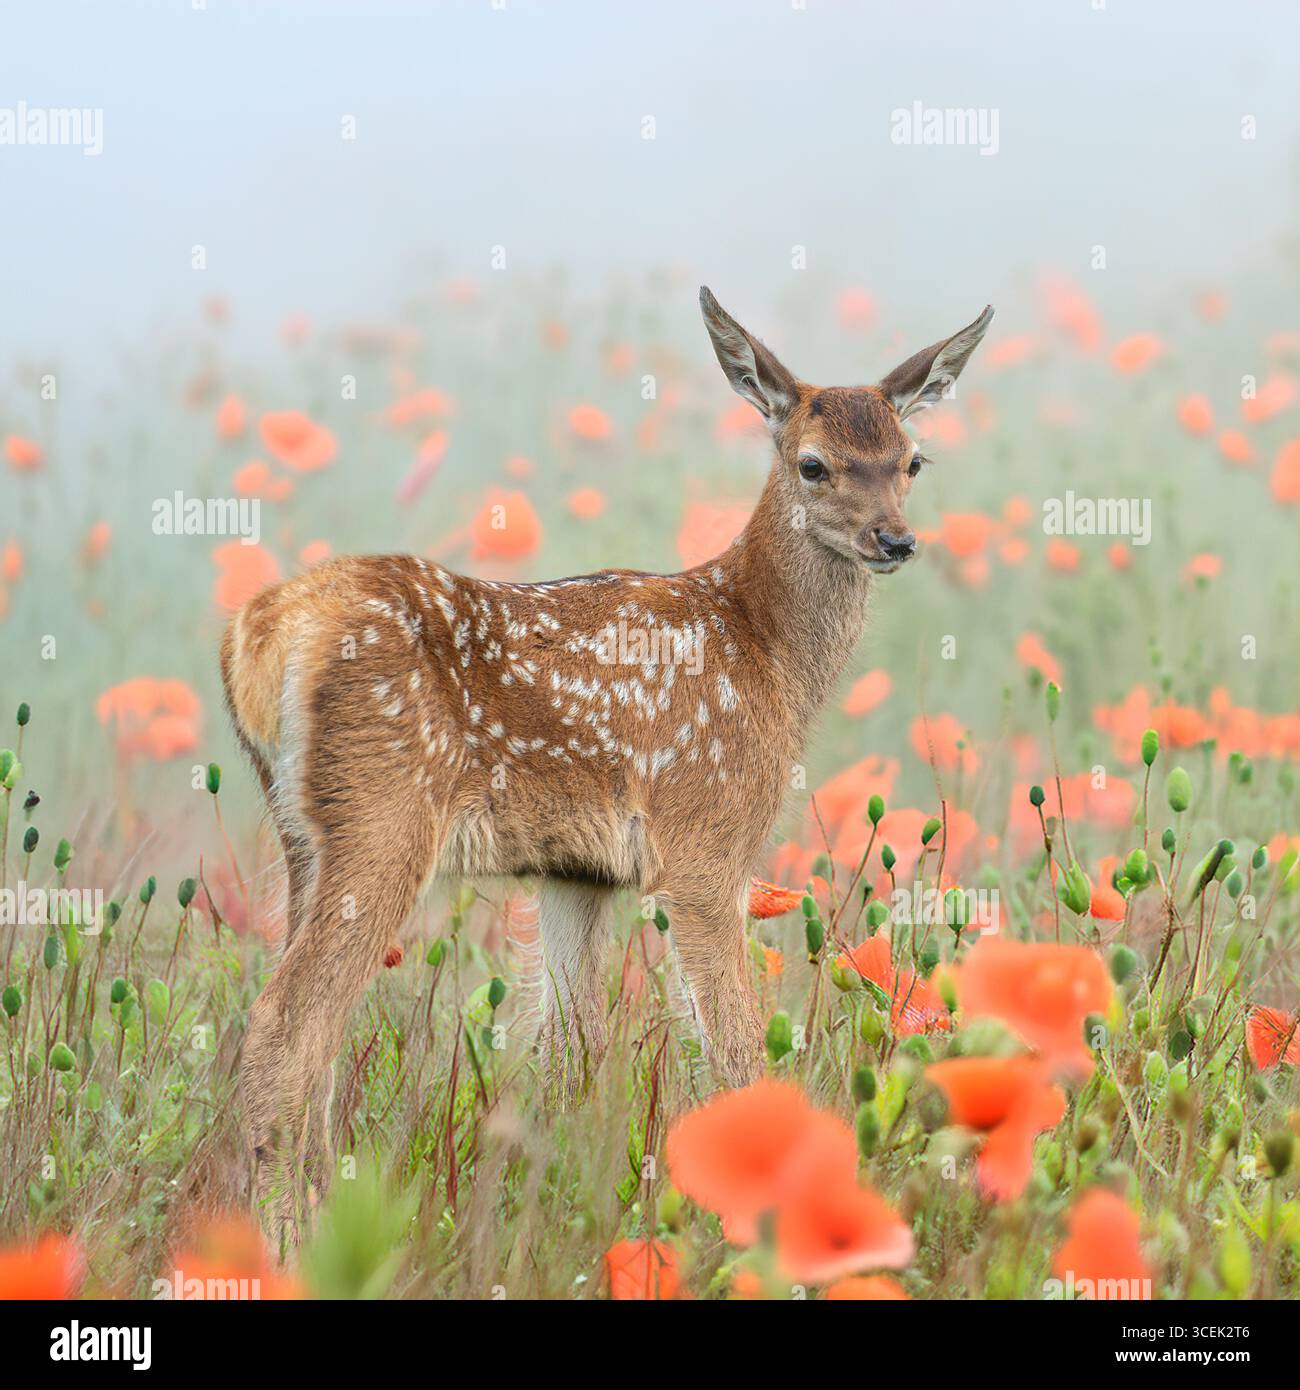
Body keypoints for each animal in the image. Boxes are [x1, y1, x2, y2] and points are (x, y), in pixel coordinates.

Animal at [220, 287, 993, 1243]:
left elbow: (568, 1058)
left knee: (311, 1040)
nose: (895, 539)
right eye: (813, 464)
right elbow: (737, 1051)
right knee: (284, 1025)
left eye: (912, 459)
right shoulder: (704, 839)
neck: (764, 650)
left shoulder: (573, 871)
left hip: (301, 834)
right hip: (383, 813)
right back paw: (283, 1240)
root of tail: (258, 637)